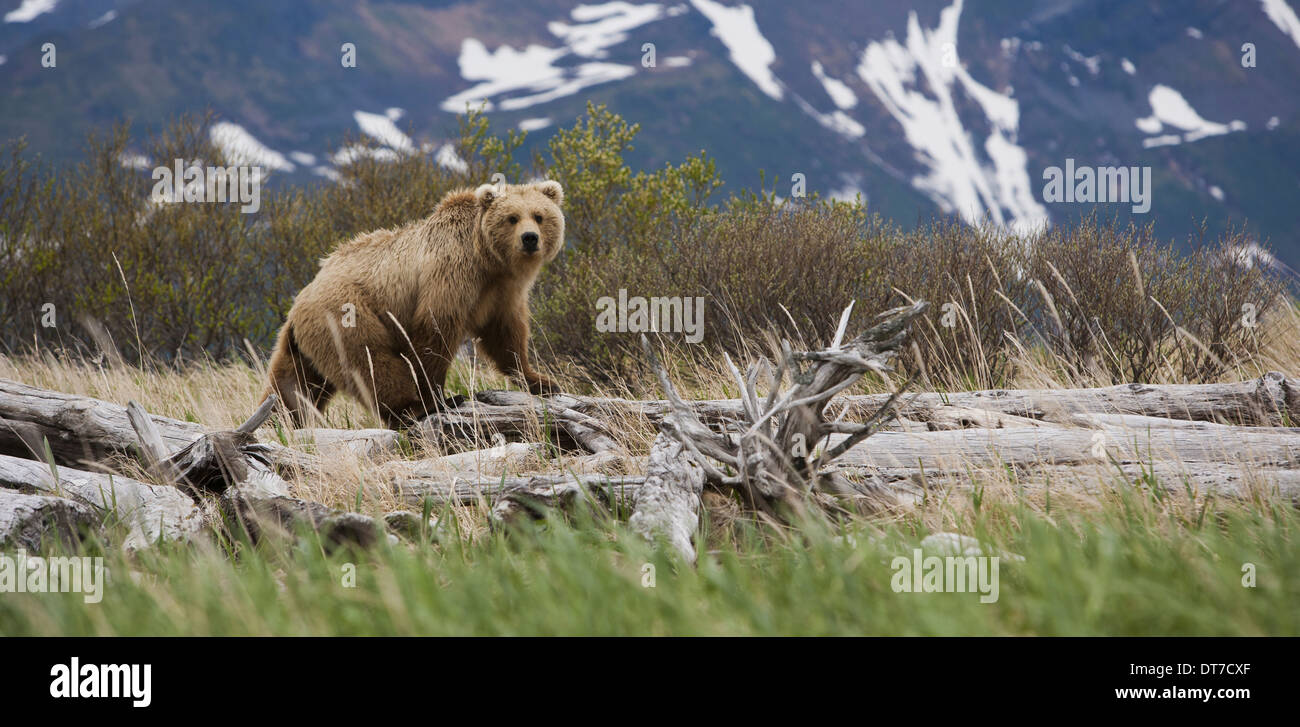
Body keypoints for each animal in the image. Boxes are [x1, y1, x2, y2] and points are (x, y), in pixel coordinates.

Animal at [261, 180, 564, 429]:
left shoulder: (502, 293)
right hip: (345, 314)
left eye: (539, 216)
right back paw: (410, 408)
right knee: (370, 360)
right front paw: (435, 397)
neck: (488, 260)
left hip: (301, 342)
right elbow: (434, 333)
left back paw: (279, 419)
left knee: (292, 383)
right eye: (512, 218)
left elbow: (507, 337)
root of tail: (301, 299)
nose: (529, 238)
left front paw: (541, 381)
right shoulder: (451, 274)